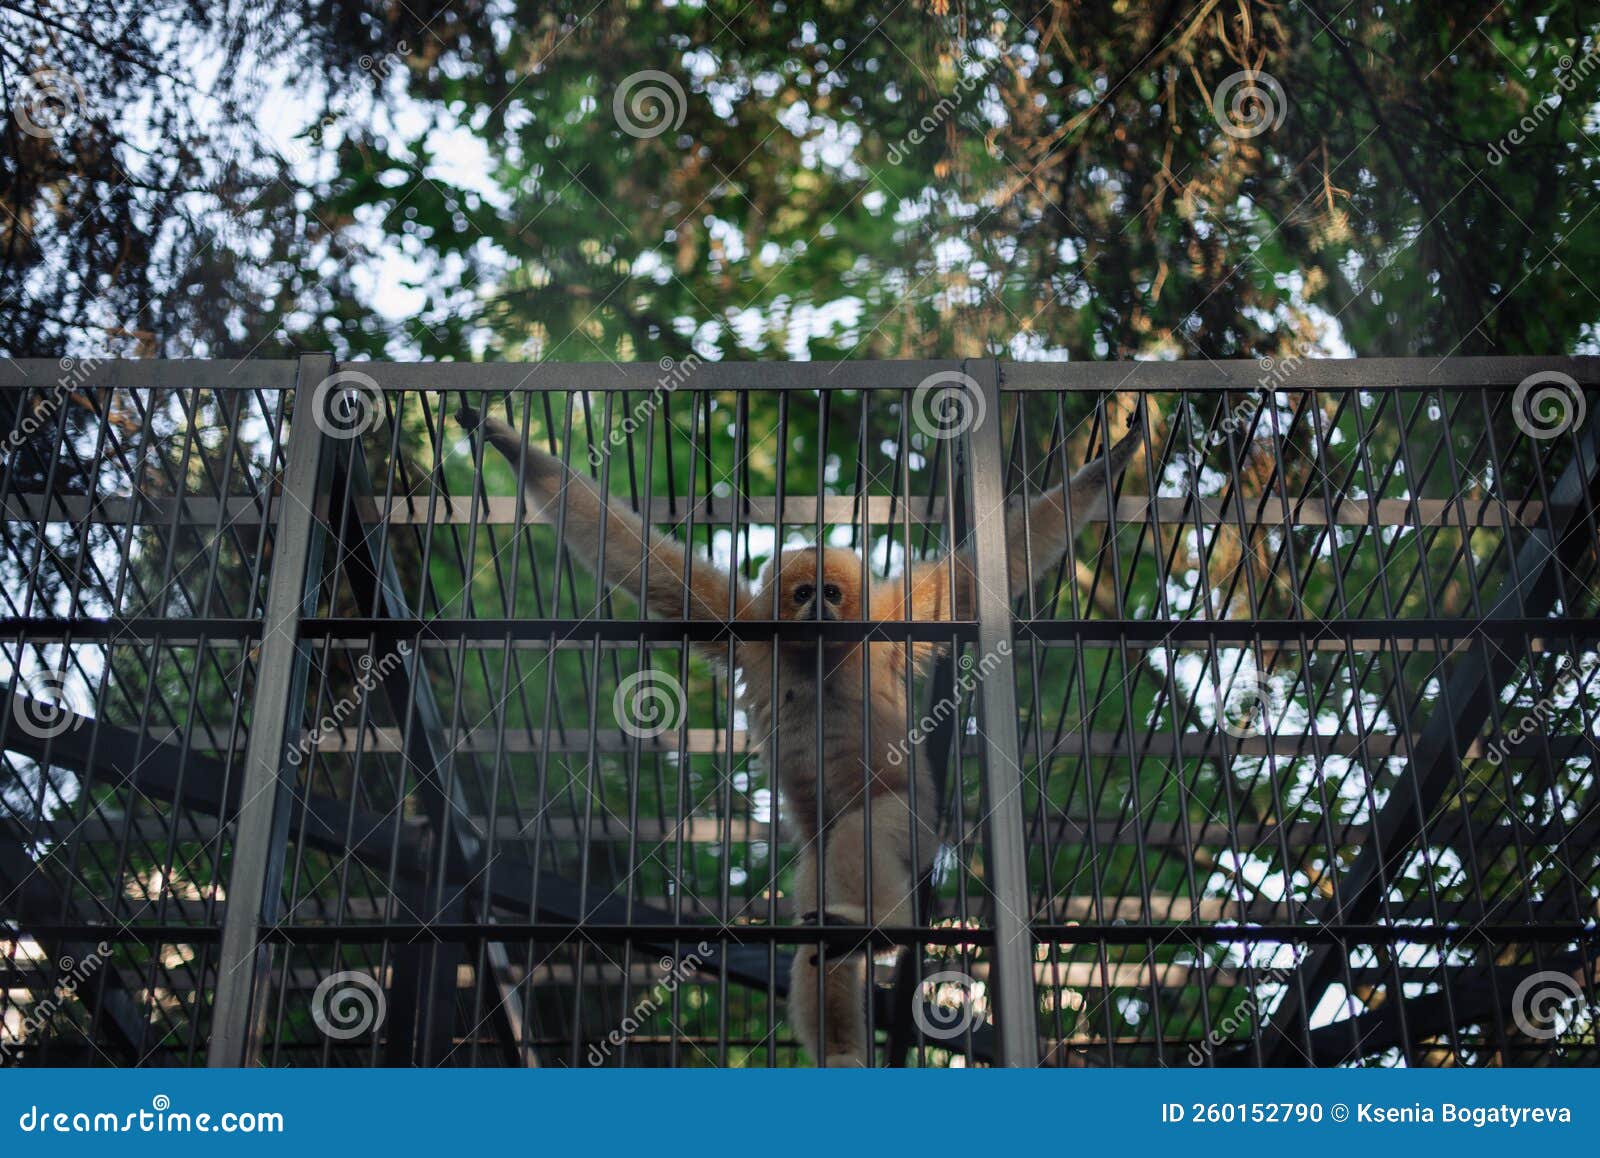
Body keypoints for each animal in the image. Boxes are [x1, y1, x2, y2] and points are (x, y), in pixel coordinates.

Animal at [456, 401, 1148, 1066]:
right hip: (817, 859)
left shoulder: (892, 621)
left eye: (834, 592)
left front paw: (1111, 462)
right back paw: (841, 1049)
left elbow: (989, 570)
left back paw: (881, 929)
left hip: (916, 829)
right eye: (805, 592)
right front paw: (504, 441)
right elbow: (643, 561)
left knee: (862, 835)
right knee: (818, 941)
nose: (819, 606)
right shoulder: (746, 626)